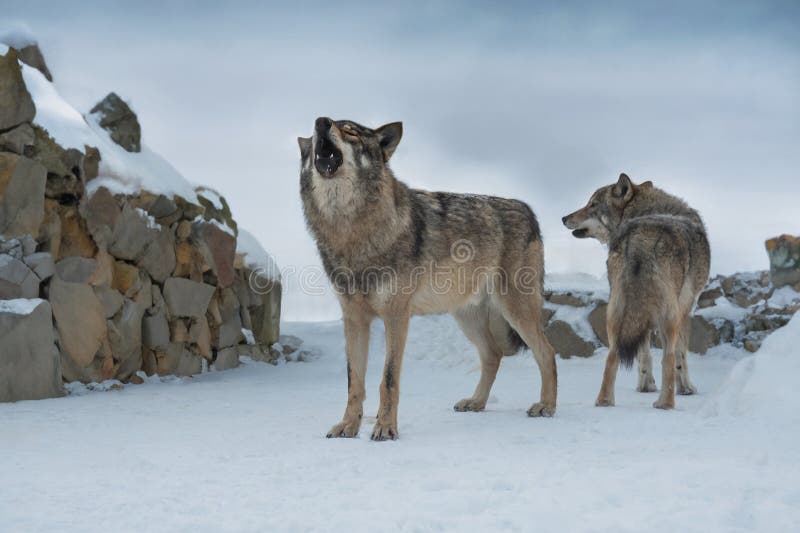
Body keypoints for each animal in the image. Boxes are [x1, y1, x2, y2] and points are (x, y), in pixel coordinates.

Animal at [298, 117, 557, 440]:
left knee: (547, 352)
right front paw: (348, 426)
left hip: (515, 311)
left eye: (350, 131)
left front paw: (386, 428)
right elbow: (354, 382)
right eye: (315, 133)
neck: (349, 229)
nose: (321, 122)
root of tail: (528, 209)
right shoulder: (353, 319)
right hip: (467, 317)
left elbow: (388, 379)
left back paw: (546, 406)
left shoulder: (396, 317)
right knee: (493, 355)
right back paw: (476, 402)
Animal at [562, 173, 710, 409]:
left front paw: (645, 386)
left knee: (612, 356)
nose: (564, 218)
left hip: (615, 313)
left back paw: (604, 401)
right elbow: (681, 356)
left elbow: (643, 354)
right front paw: (687, 388)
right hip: (670, 317)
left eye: (592, 205)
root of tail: (643, 237)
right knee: (668, 357)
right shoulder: (686, 311)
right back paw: (665, 403)